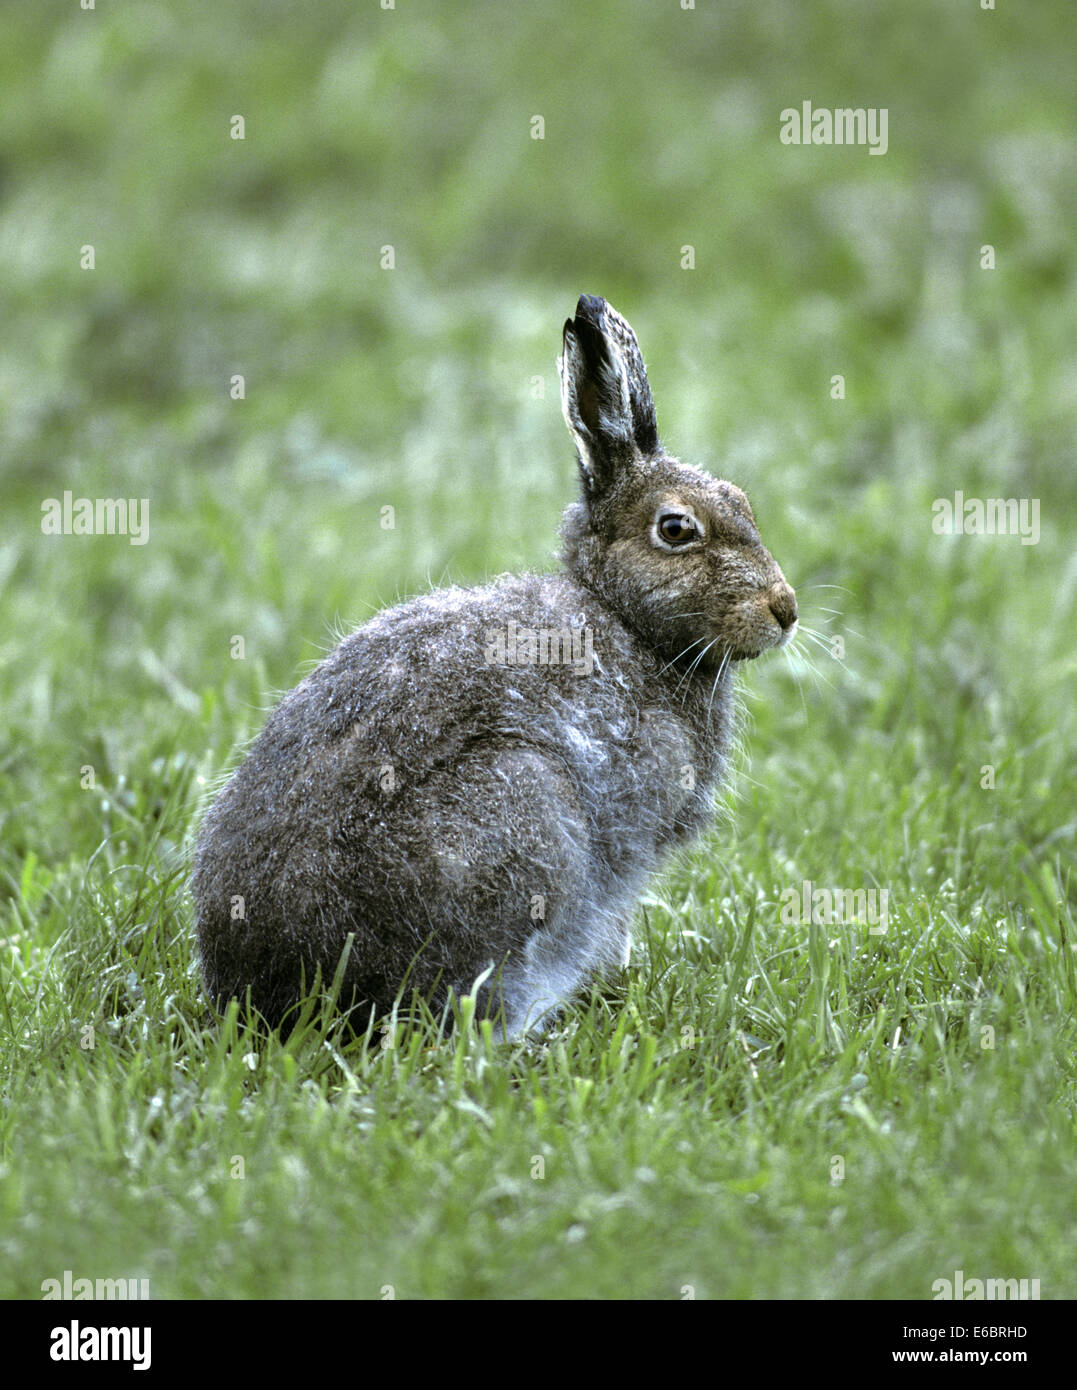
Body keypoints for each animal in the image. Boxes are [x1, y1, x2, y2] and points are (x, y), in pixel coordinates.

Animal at [191, 294, 797, 1037]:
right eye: (676, 529)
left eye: (741, 501)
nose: (784, 610)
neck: (625, 619)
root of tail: (279, 994)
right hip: (524, 809)